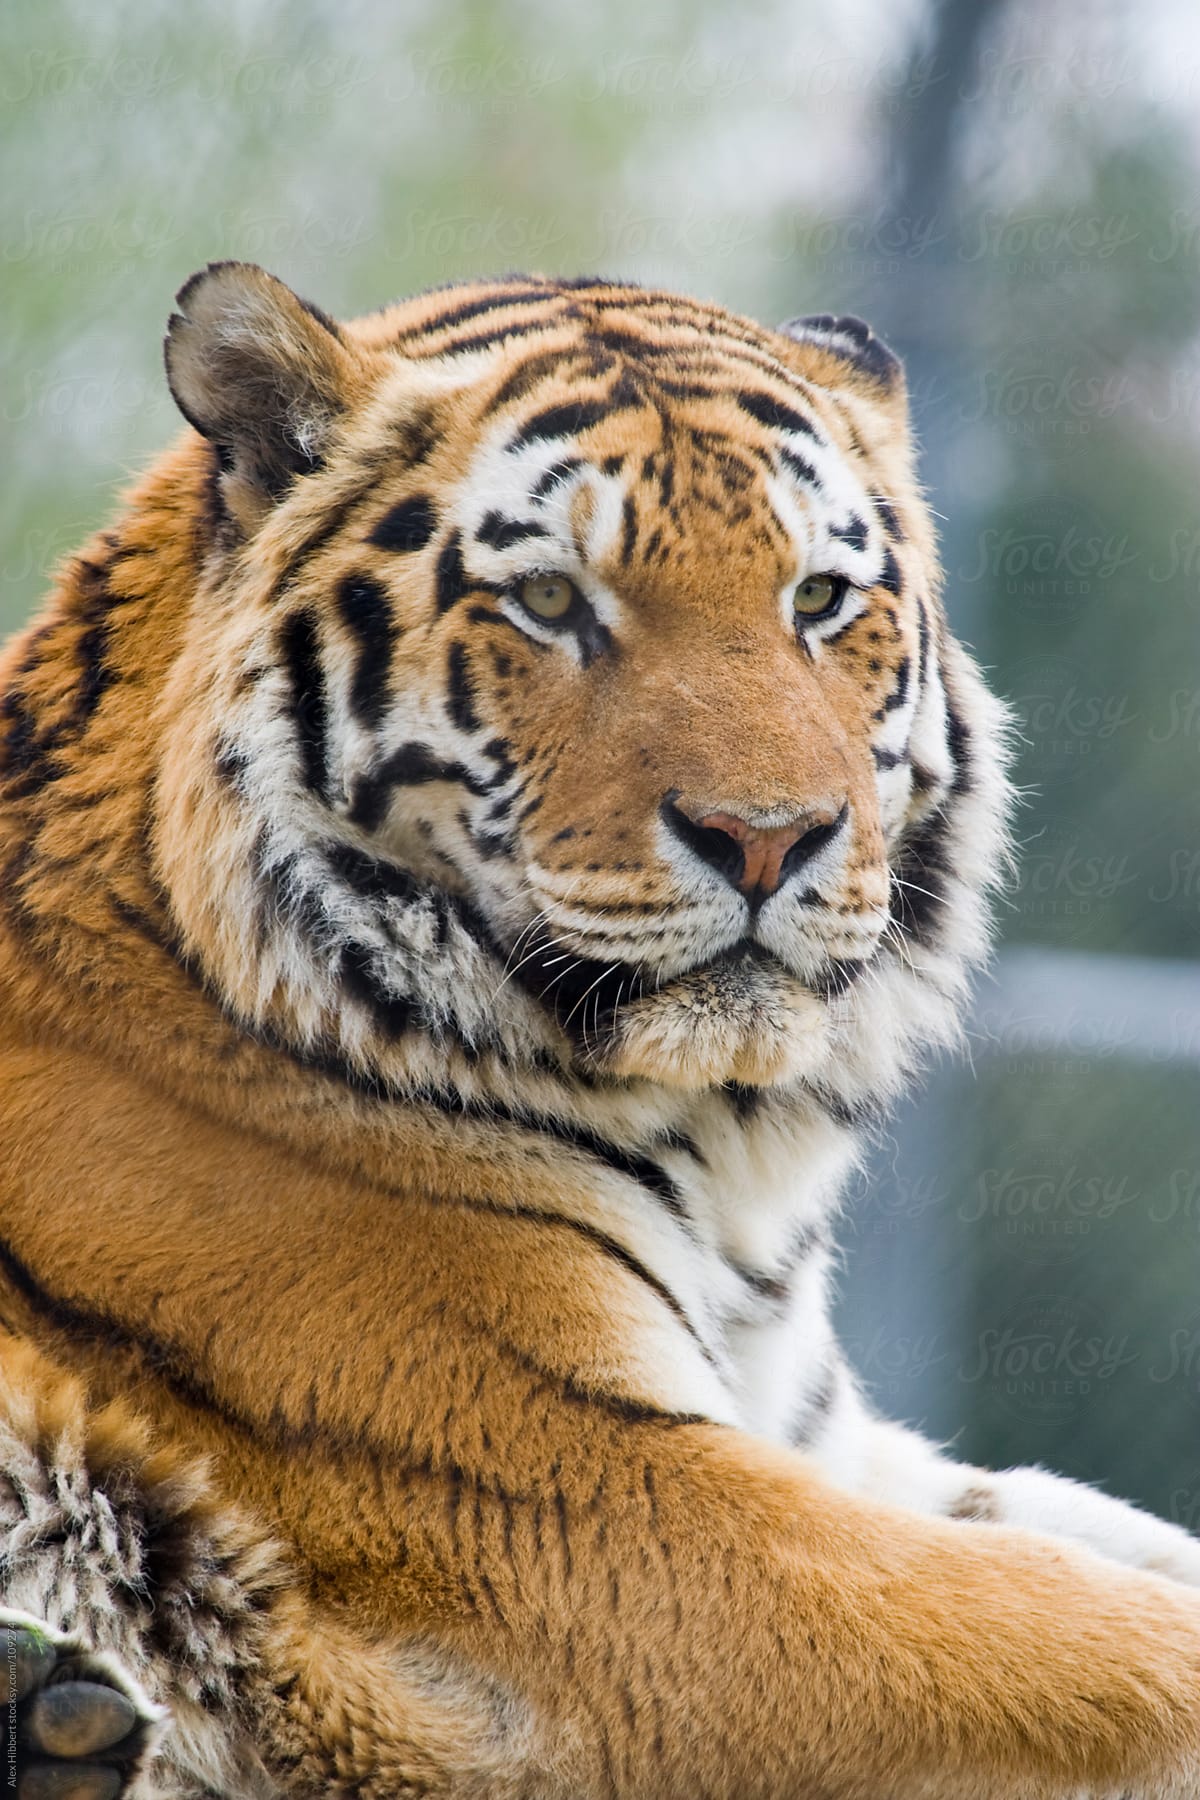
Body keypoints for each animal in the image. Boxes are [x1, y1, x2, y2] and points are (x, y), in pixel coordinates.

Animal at [2, 261, 1200, 1800]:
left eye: (819, 597)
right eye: (552, 601)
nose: (769, 839)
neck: (724, 1151)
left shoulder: (832, 1449)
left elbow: (1119, 1542)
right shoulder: (590, 1499)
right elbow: (1113, 1642)